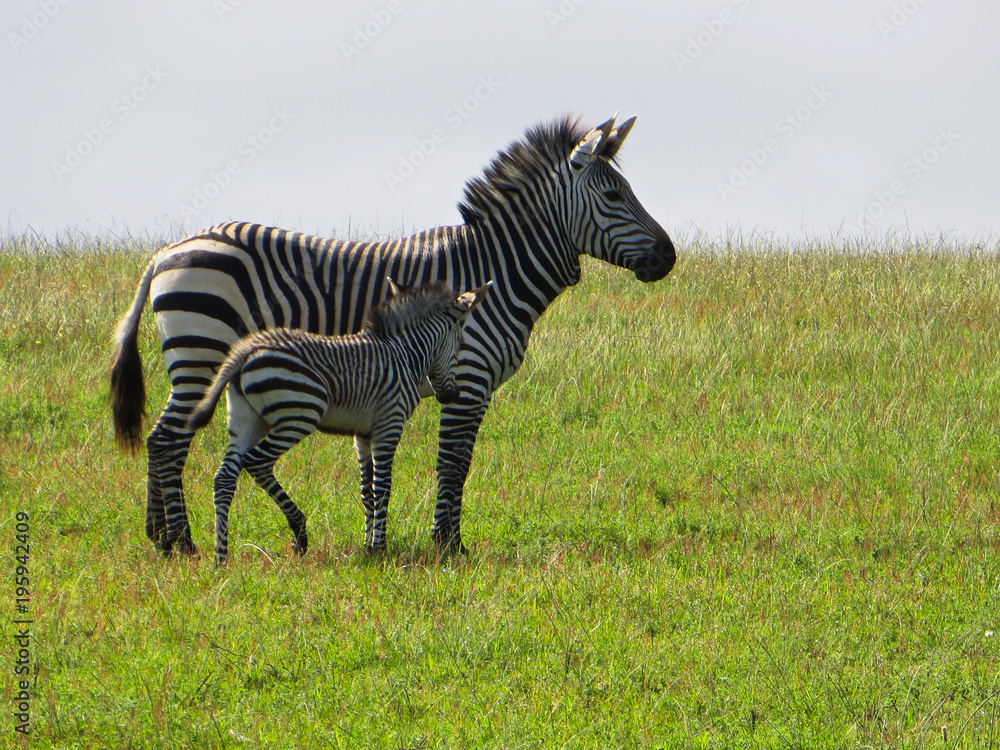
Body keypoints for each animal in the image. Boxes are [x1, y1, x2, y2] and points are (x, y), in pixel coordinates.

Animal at [186, 281, 491, 563]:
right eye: (460, 345)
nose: (452, 395)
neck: (405, 355)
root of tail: (246, 350)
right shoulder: (389, 425)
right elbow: (383, 487)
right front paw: (379, 548)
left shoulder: (363, 434)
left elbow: (367, 490)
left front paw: (368, 546)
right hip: (299, 415)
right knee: (256, 462)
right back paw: (299, 533)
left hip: (246, 420)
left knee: (225, 477)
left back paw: (221, 556)